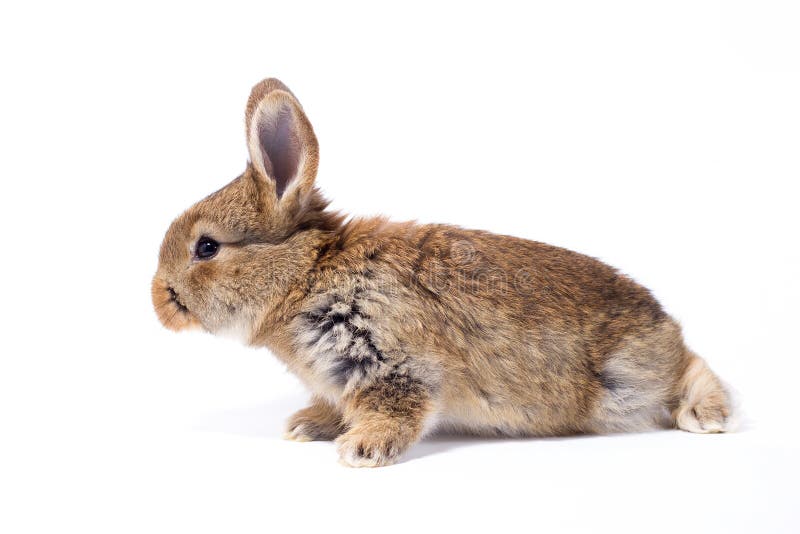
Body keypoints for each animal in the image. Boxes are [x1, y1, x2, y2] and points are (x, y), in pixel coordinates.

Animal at [152, 78, 732, 467]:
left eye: (206, 247)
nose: (159, 302)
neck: (308, 275)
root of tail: (662, 324)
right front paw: (306, 426)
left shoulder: (393, 359)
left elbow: (397, 408)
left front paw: (360, 450)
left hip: (628, 380)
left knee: (691, 370)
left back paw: (707, 418)